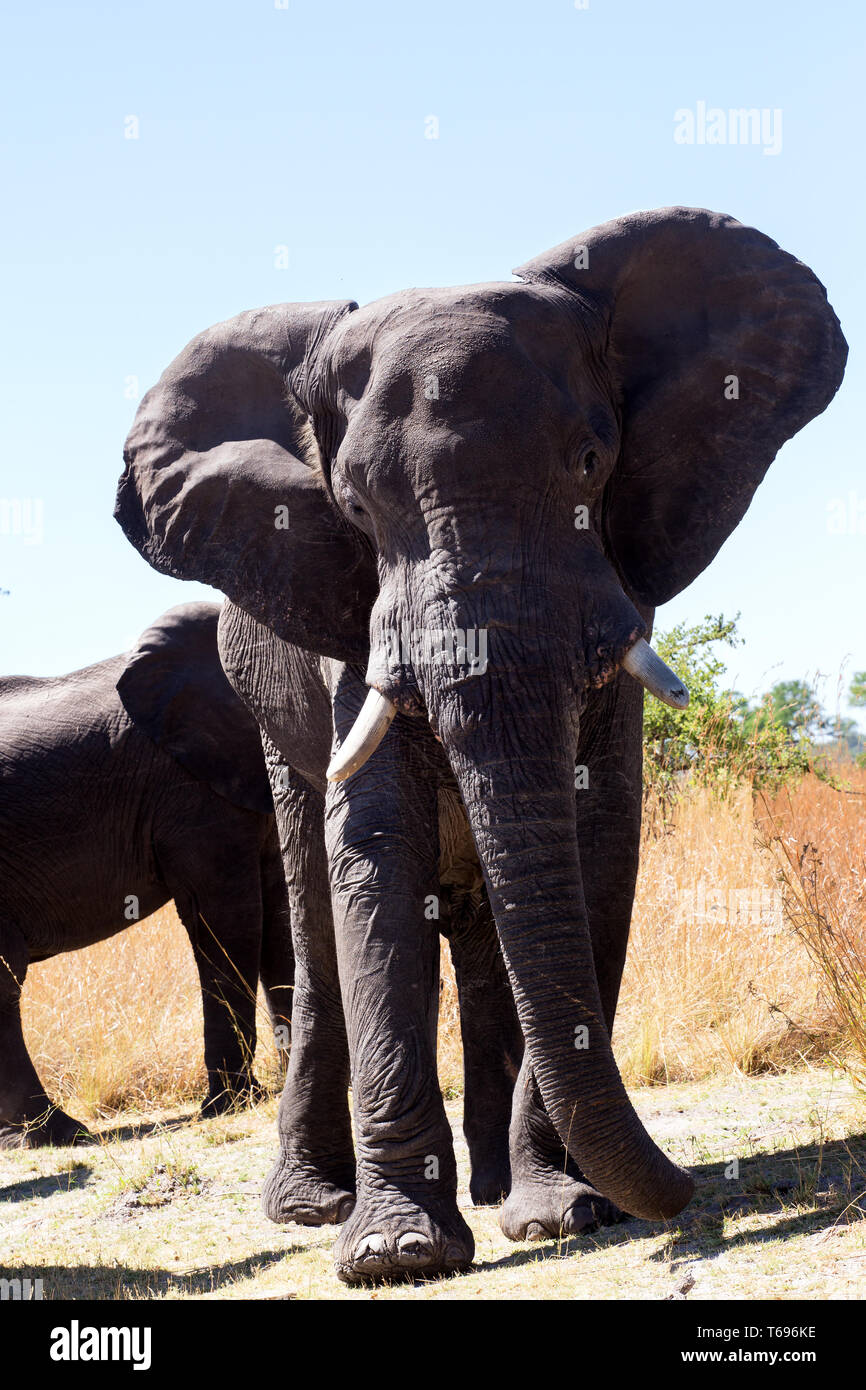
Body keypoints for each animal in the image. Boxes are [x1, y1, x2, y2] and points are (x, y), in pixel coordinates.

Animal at [115, 207, 846, 1283]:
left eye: (589, 465)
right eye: (356, 508)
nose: (683, 1193)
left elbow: (595, 839)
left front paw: (561, 1216)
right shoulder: (347, 619)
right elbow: (372, 857)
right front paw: (395, 1256)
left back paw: (502, 1190)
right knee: (319, 918)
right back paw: (315, 1207)